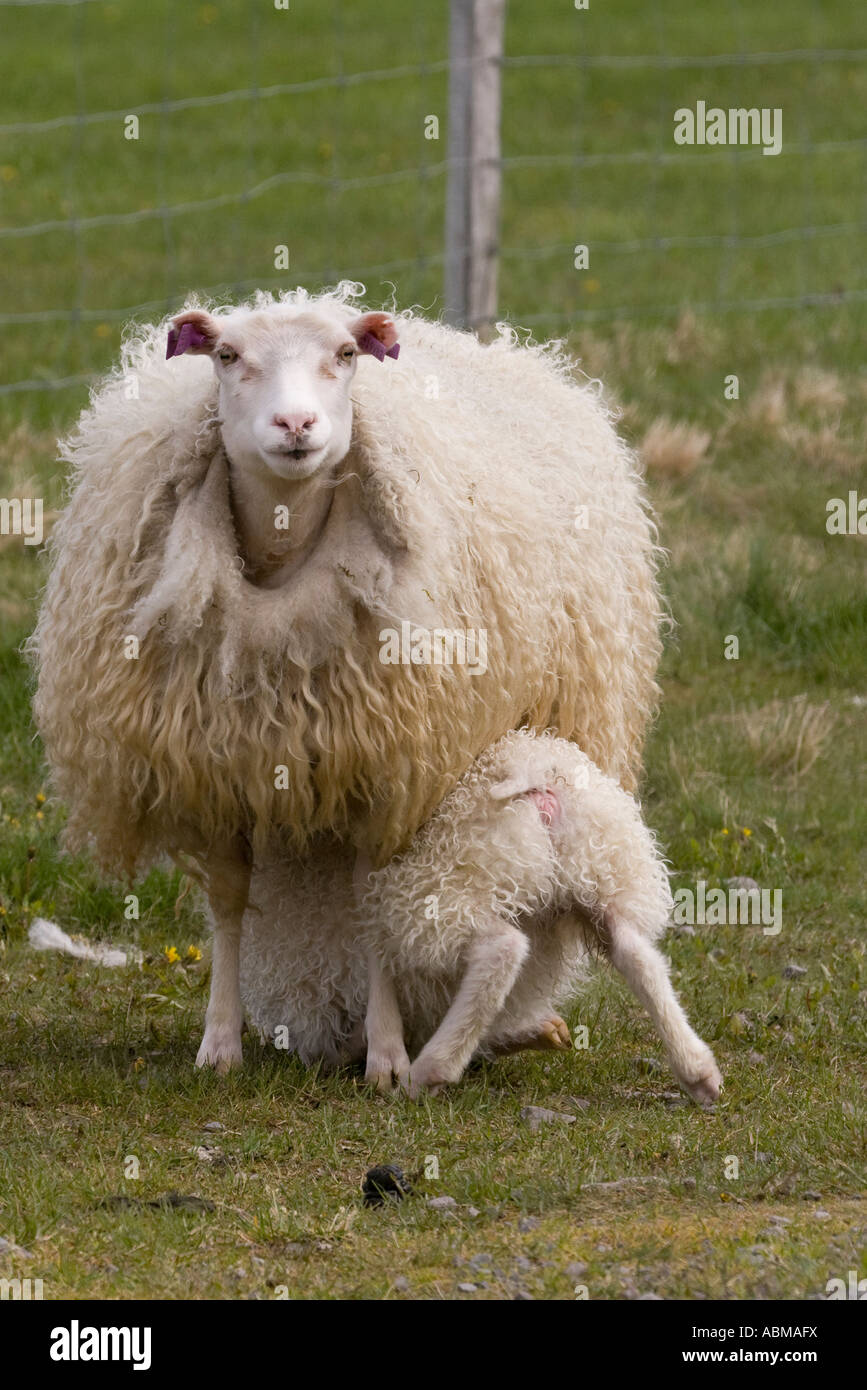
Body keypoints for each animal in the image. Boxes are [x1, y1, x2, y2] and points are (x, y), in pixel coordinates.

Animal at [30, 283, 664, 1073]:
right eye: (227, 355)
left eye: (344, 354)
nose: (296, 423)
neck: (281, 557)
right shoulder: (220, 766)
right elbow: (230, 901)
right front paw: (220, 1043)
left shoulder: (382, 766)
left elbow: (369, 904)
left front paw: (386, 1052)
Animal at [240, 730, 722, 1105]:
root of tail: (535, 775)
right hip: (603, 870)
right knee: (637, 955)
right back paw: (697, 1069)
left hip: (444, 885)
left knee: (501, 951)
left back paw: (429, 1072)